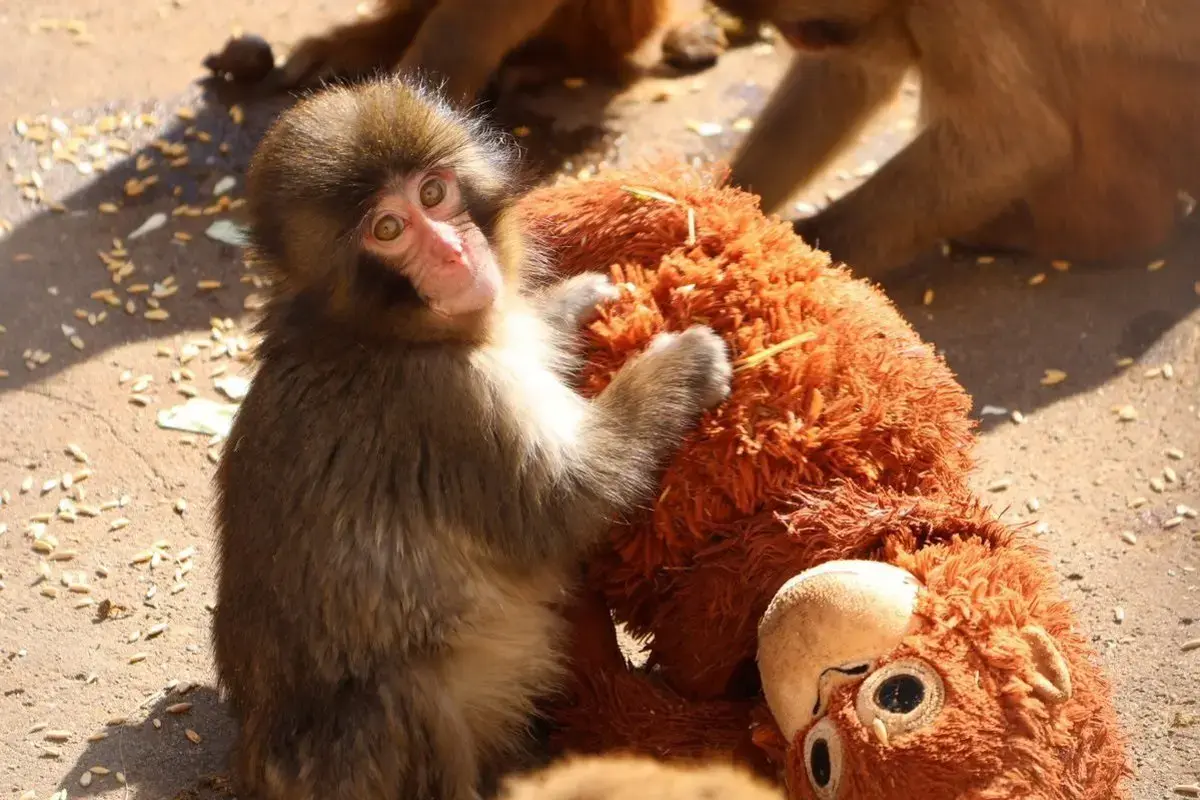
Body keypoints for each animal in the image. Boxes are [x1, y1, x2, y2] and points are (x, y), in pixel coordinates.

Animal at [210, 74, 734, 800]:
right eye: (389, 229)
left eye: (433, 193)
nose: (454, 253)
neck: (380, 333)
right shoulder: (450, 404)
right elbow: (561, 506)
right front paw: (677, 367)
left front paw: (574, 301)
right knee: (401, 693)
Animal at [721, 0, 1200, 276]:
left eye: (804, 28)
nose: (799, 37)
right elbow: (847, 77)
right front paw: (725, 201)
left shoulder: (954, 5)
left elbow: (1017, 142)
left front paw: (794, 257)